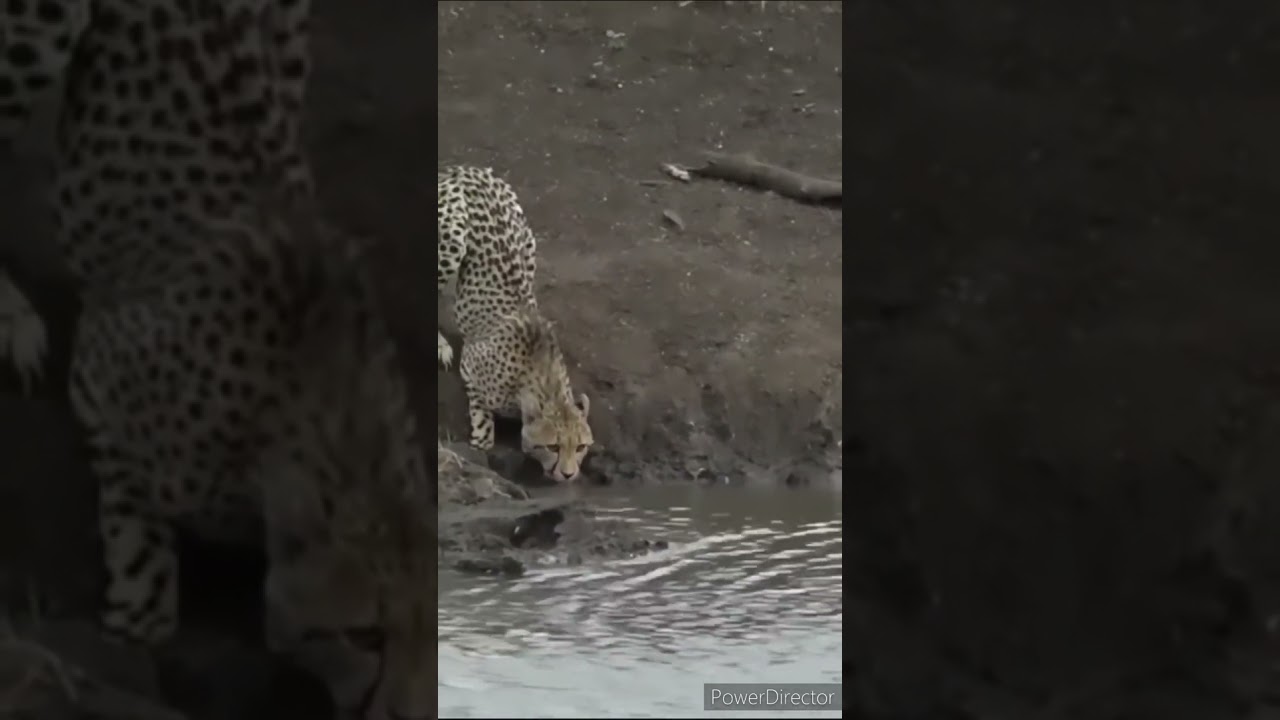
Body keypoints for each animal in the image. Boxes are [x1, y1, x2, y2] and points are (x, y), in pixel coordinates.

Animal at [74, 200, 436, 719]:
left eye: (436, 635)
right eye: (365, 636)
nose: (414, 714)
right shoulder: (97, 369)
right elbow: (138, 538)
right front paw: (132, 624)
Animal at [437, 164, 594, 482]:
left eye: (581, 446)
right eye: (553, 446)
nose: (569, 475)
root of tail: (466, 168)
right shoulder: (470, 364)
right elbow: (482, 418)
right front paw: (481, 440)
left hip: (528, 241)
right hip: (451, 242)